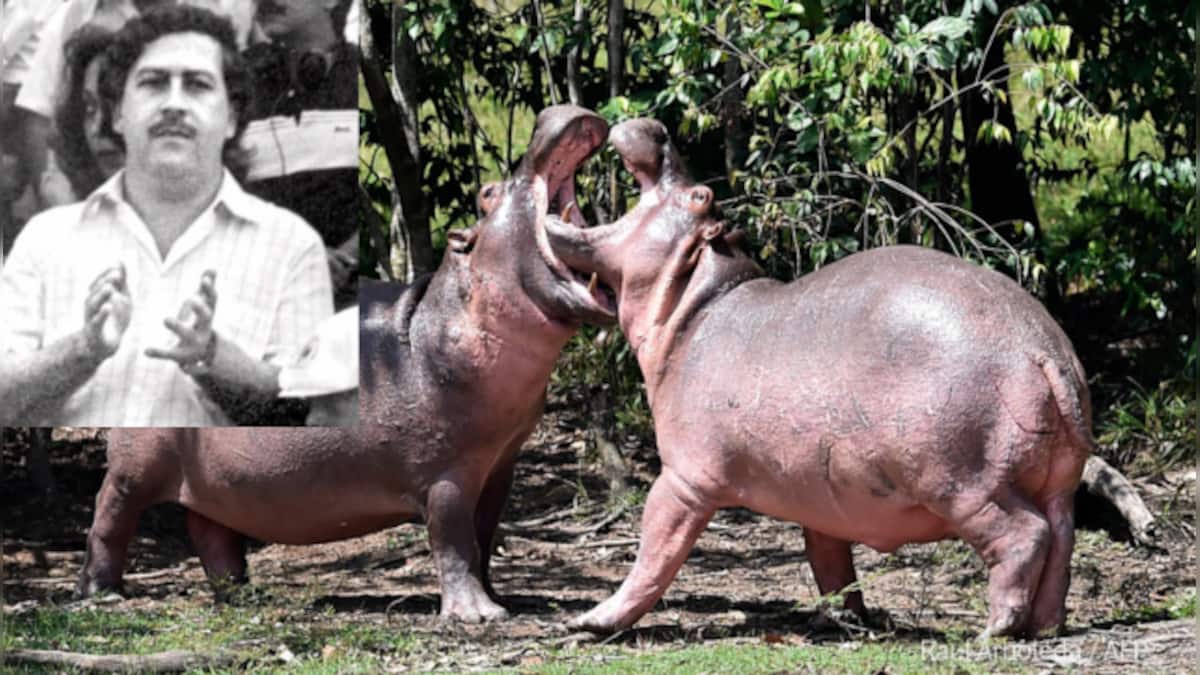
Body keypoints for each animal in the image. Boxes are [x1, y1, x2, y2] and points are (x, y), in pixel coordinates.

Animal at [77, 105, 615, 622]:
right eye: (487, 193)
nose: (549, 115)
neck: (444, 319)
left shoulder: (500, 466)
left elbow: (484, 539)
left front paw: (502, 599)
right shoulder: (445, 473)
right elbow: (455, 542)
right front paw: (479, 616)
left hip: (212, 477)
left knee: (211, 528)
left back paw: (245, 596)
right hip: (137, 464)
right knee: (109, 512)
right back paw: (103, 593)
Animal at [543, 118, 1093, 638]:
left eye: (698, 196)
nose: (657, 129)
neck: (695, 304)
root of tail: (1039, 350)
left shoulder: (683, 479)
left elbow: (654, 552)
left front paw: (589, 623)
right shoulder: (819, 499)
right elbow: (830, 564)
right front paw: (843, 622)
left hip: (962, 481)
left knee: (1023, 535)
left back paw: (994, 629)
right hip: (1055, 482)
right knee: (1062, 541)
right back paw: (1046, 626)